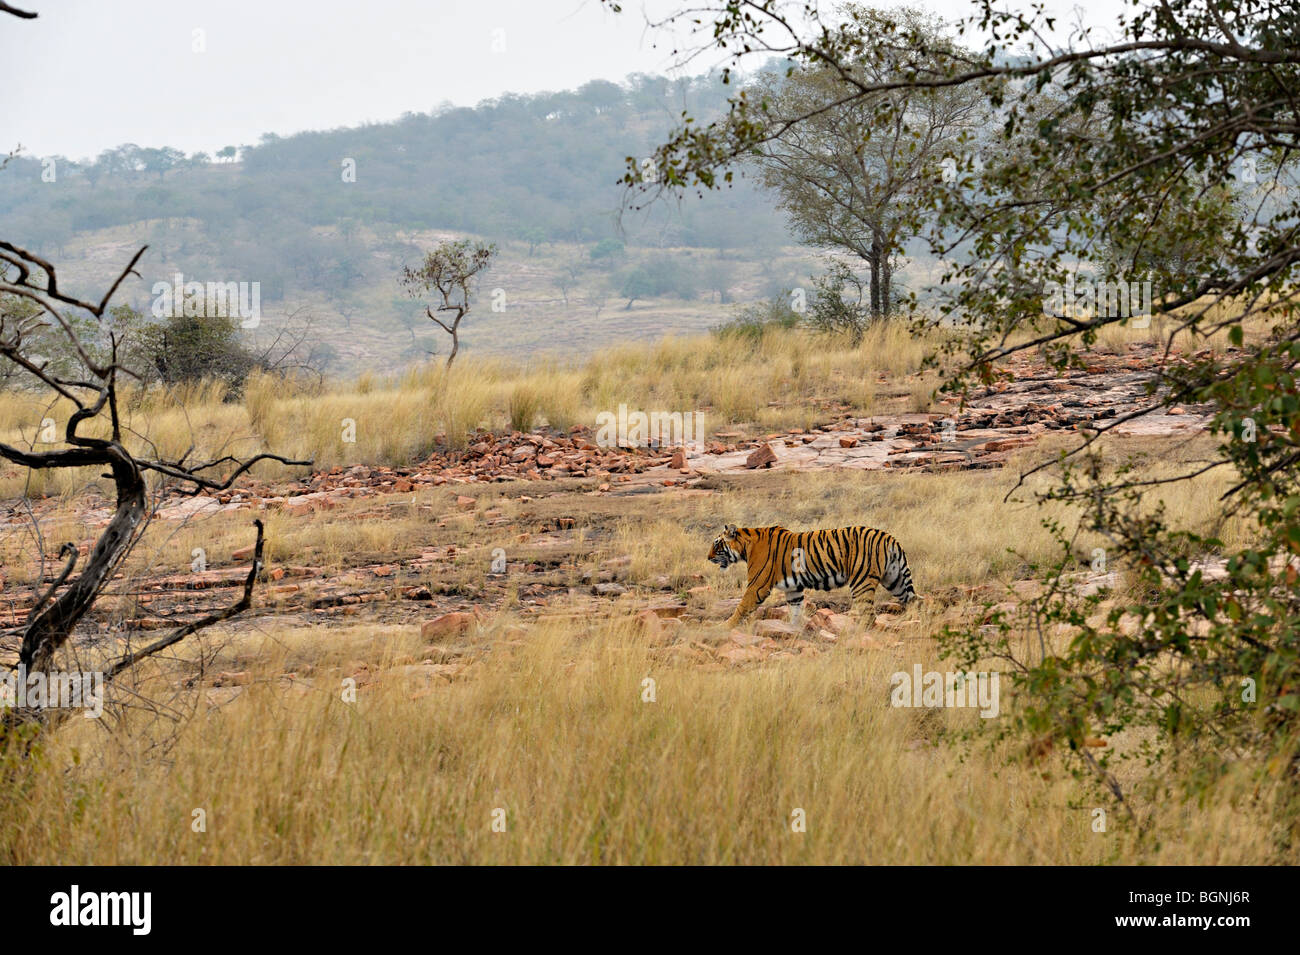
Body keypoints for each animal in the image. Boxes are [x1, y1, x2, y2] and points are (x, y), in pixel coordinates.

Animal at [707, 524, 918, 627]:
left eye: (716, 544)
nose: (708, 558)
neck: (746, 545)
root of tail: (889, 537)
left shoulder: (757, 586)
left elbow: (741, 607)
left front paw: (723, 628)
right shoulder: (793, 589)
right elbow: (795, 610)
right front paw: (793, 629)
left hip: (862, 582)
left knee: (869, 616)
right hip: (895, 579)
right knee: (916, 601)